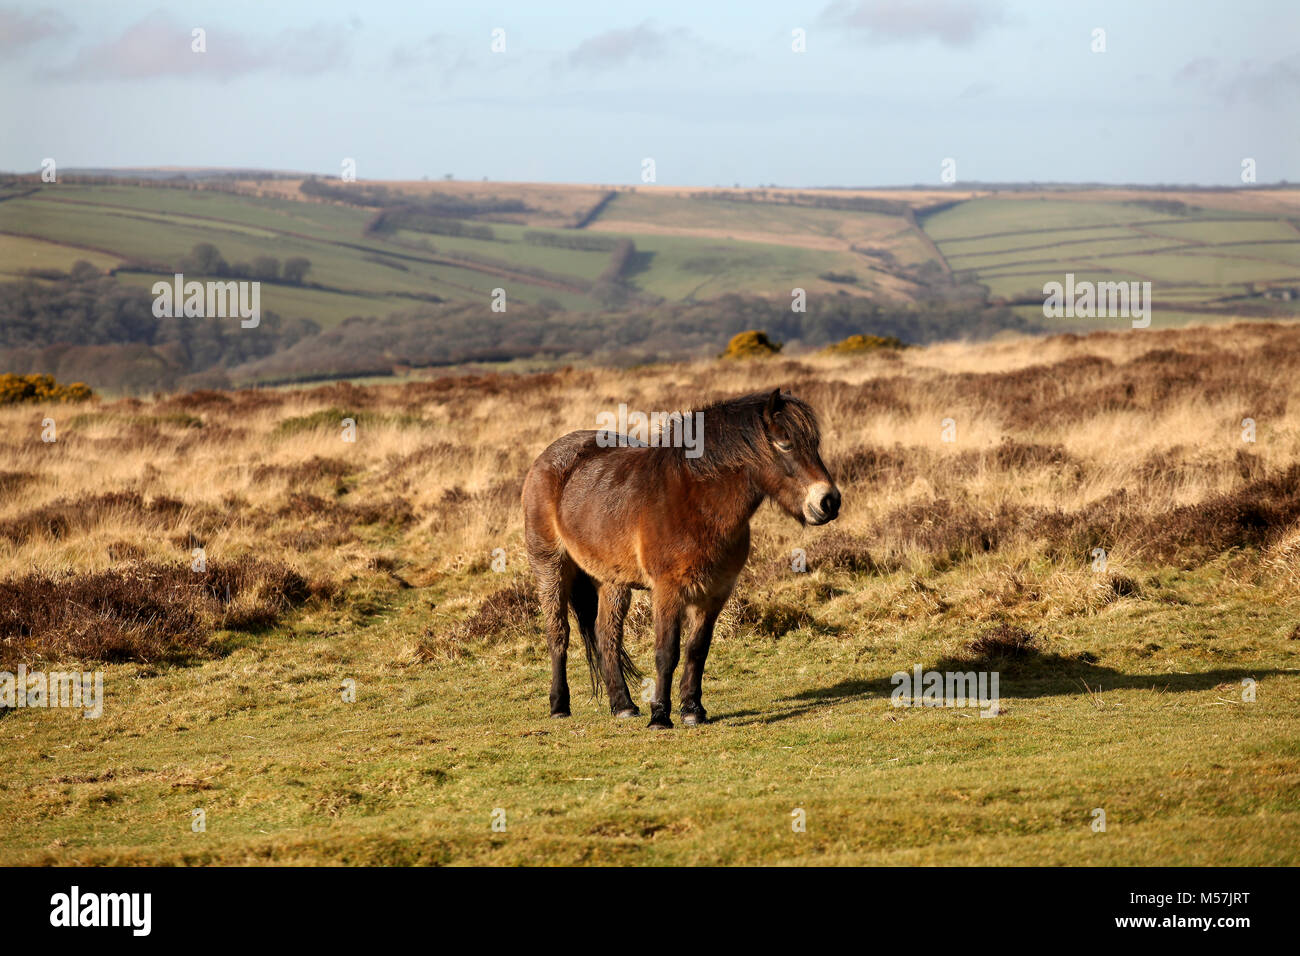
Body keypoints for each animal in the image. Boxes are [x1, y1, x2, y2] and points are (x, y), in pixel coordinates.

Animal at [521, 388, 841, 729]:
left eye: (815, 444)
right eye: (785, 443)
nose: (829, 501)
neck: (696, 501)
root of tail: (547, 458)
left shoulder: (714, 593)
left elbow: (697, 650)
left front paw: (693, 710)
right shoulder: (668, 591)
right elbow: (667, 652)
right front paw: (660, 715)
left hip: (611, 581)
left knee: (606, 635)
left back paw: (623, 705)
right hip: (550, 567)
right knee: (558, 633)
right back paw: (559, 705)